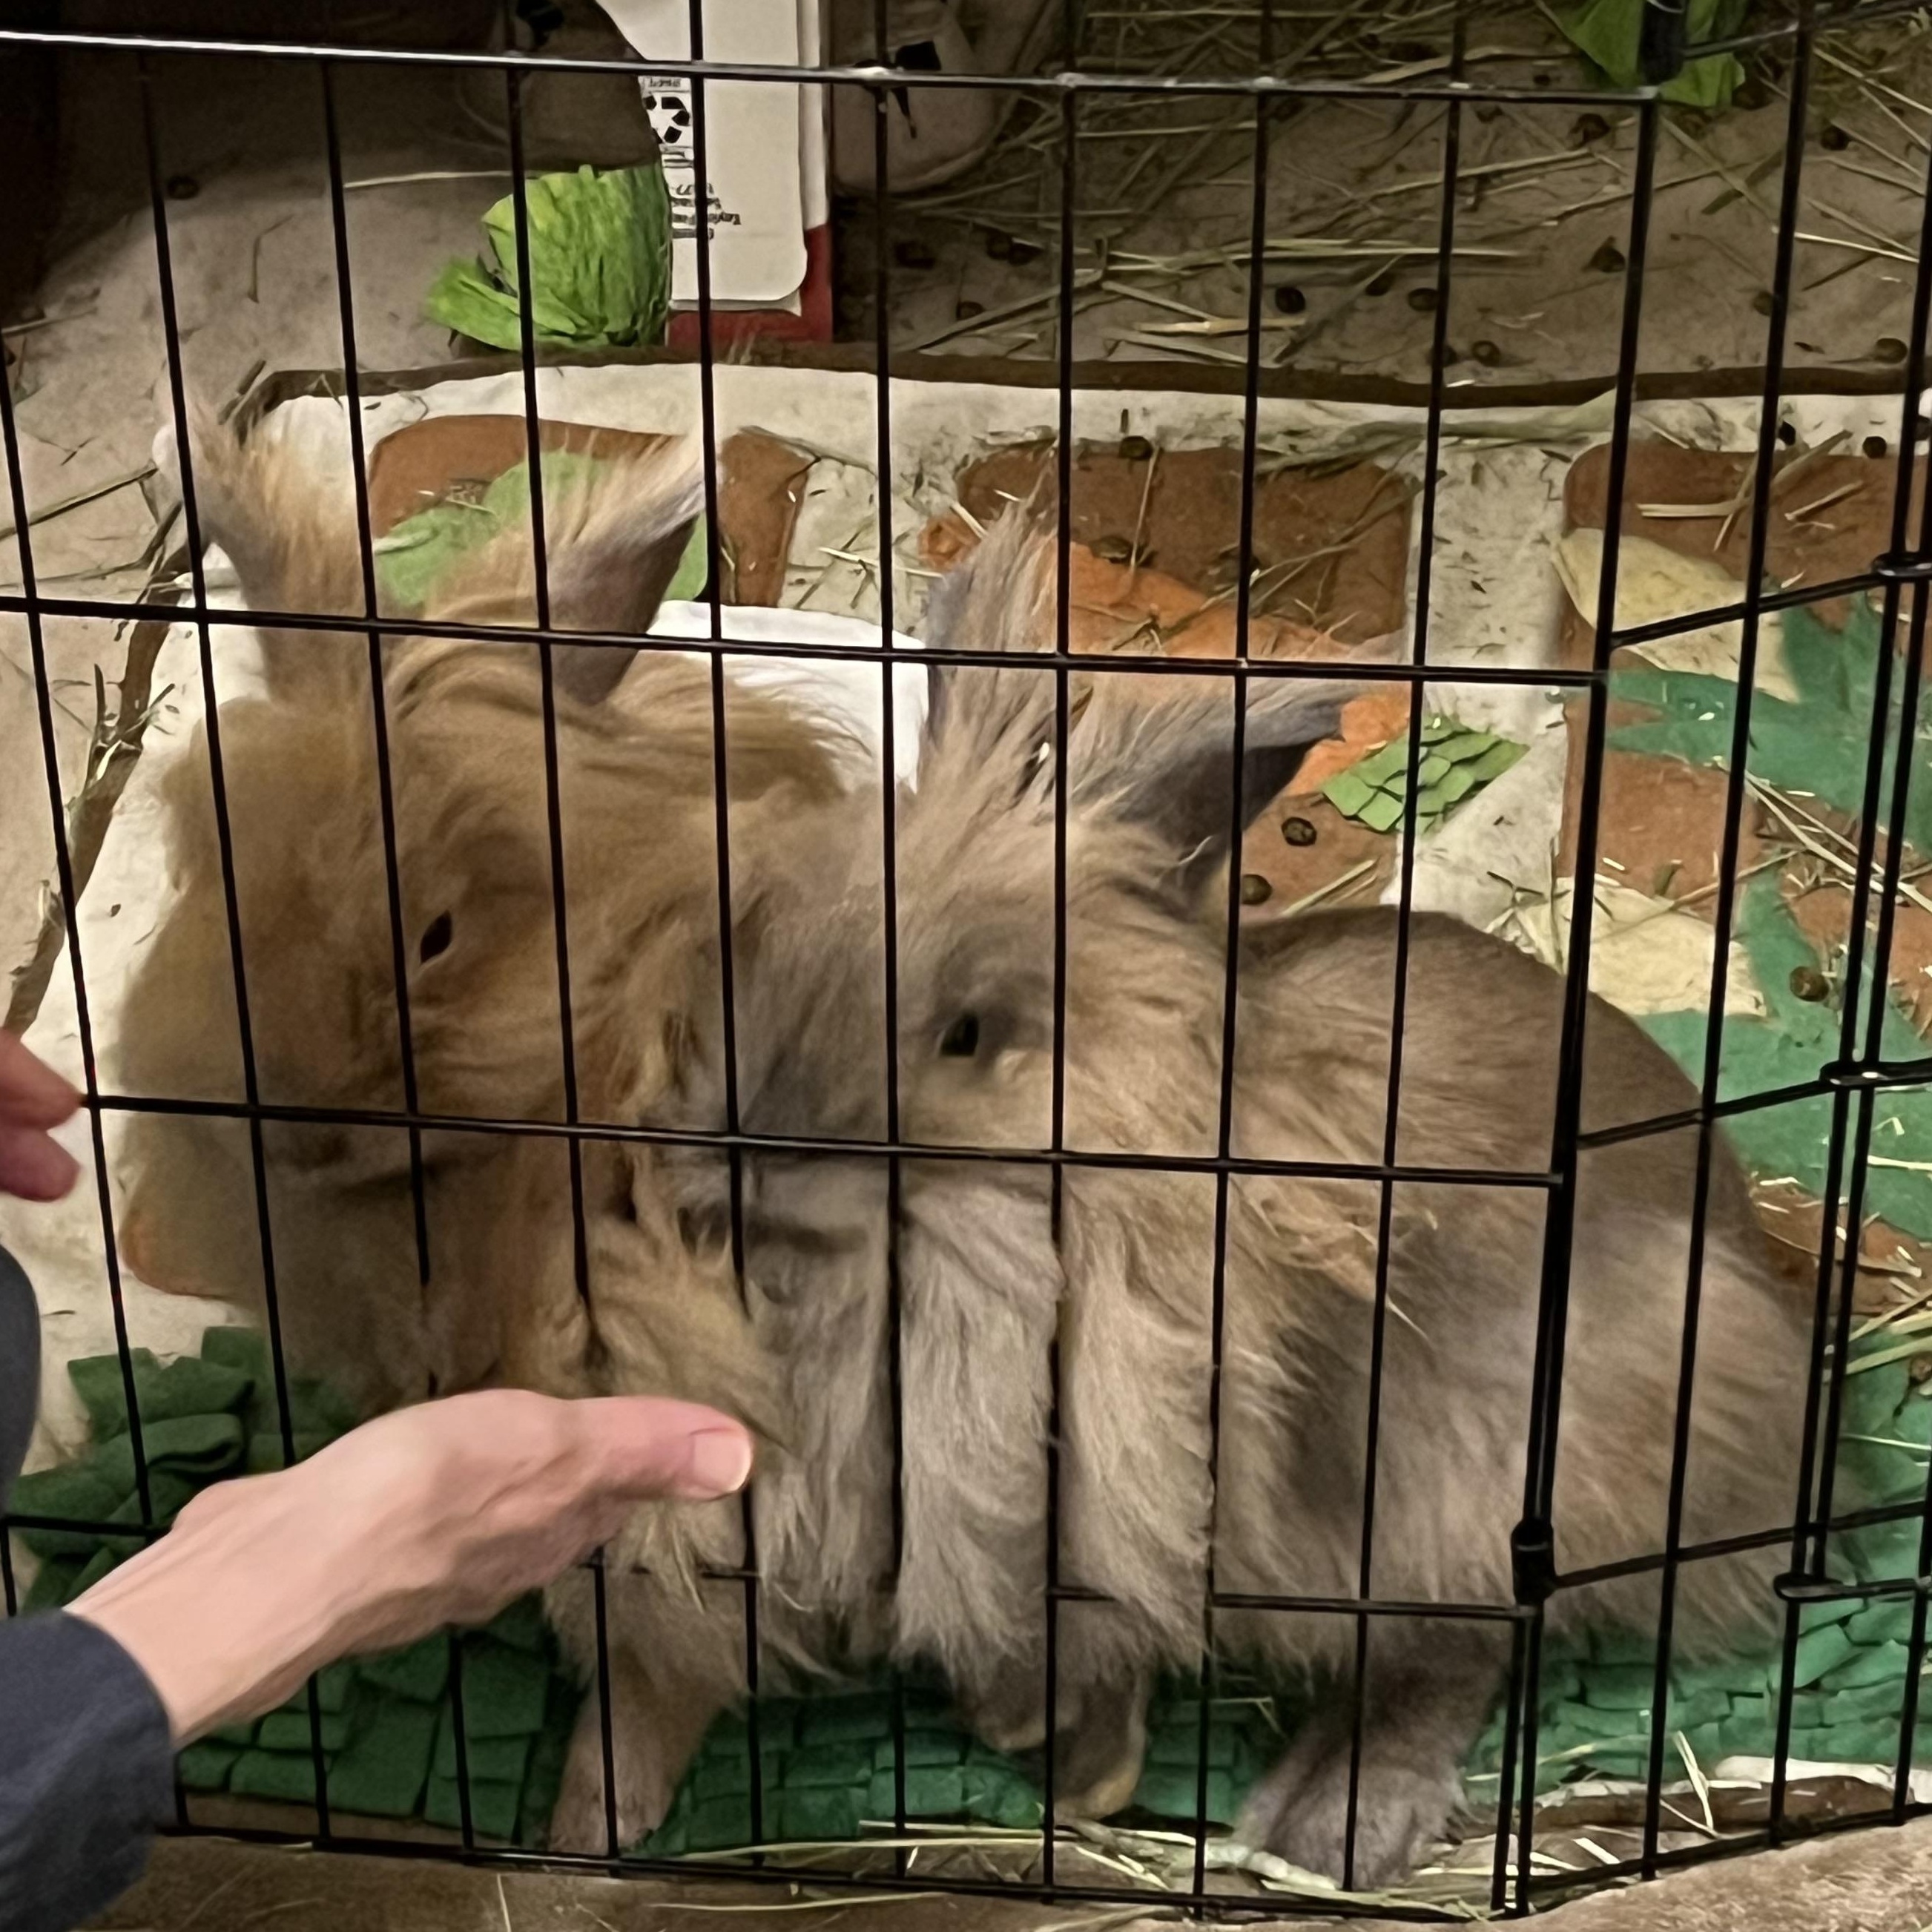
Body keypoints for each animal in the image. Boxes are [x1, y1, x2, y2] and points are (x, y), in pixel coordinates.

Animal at [624, 510, 1817, 1886]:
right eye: (754, 942)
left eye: (966, 1035)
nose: (728, 1155)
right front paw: (1034, 1733)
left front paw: (1061, 1745)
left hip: (1498, 1474)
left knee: (1459, 1642)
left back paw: (1331, 1819)